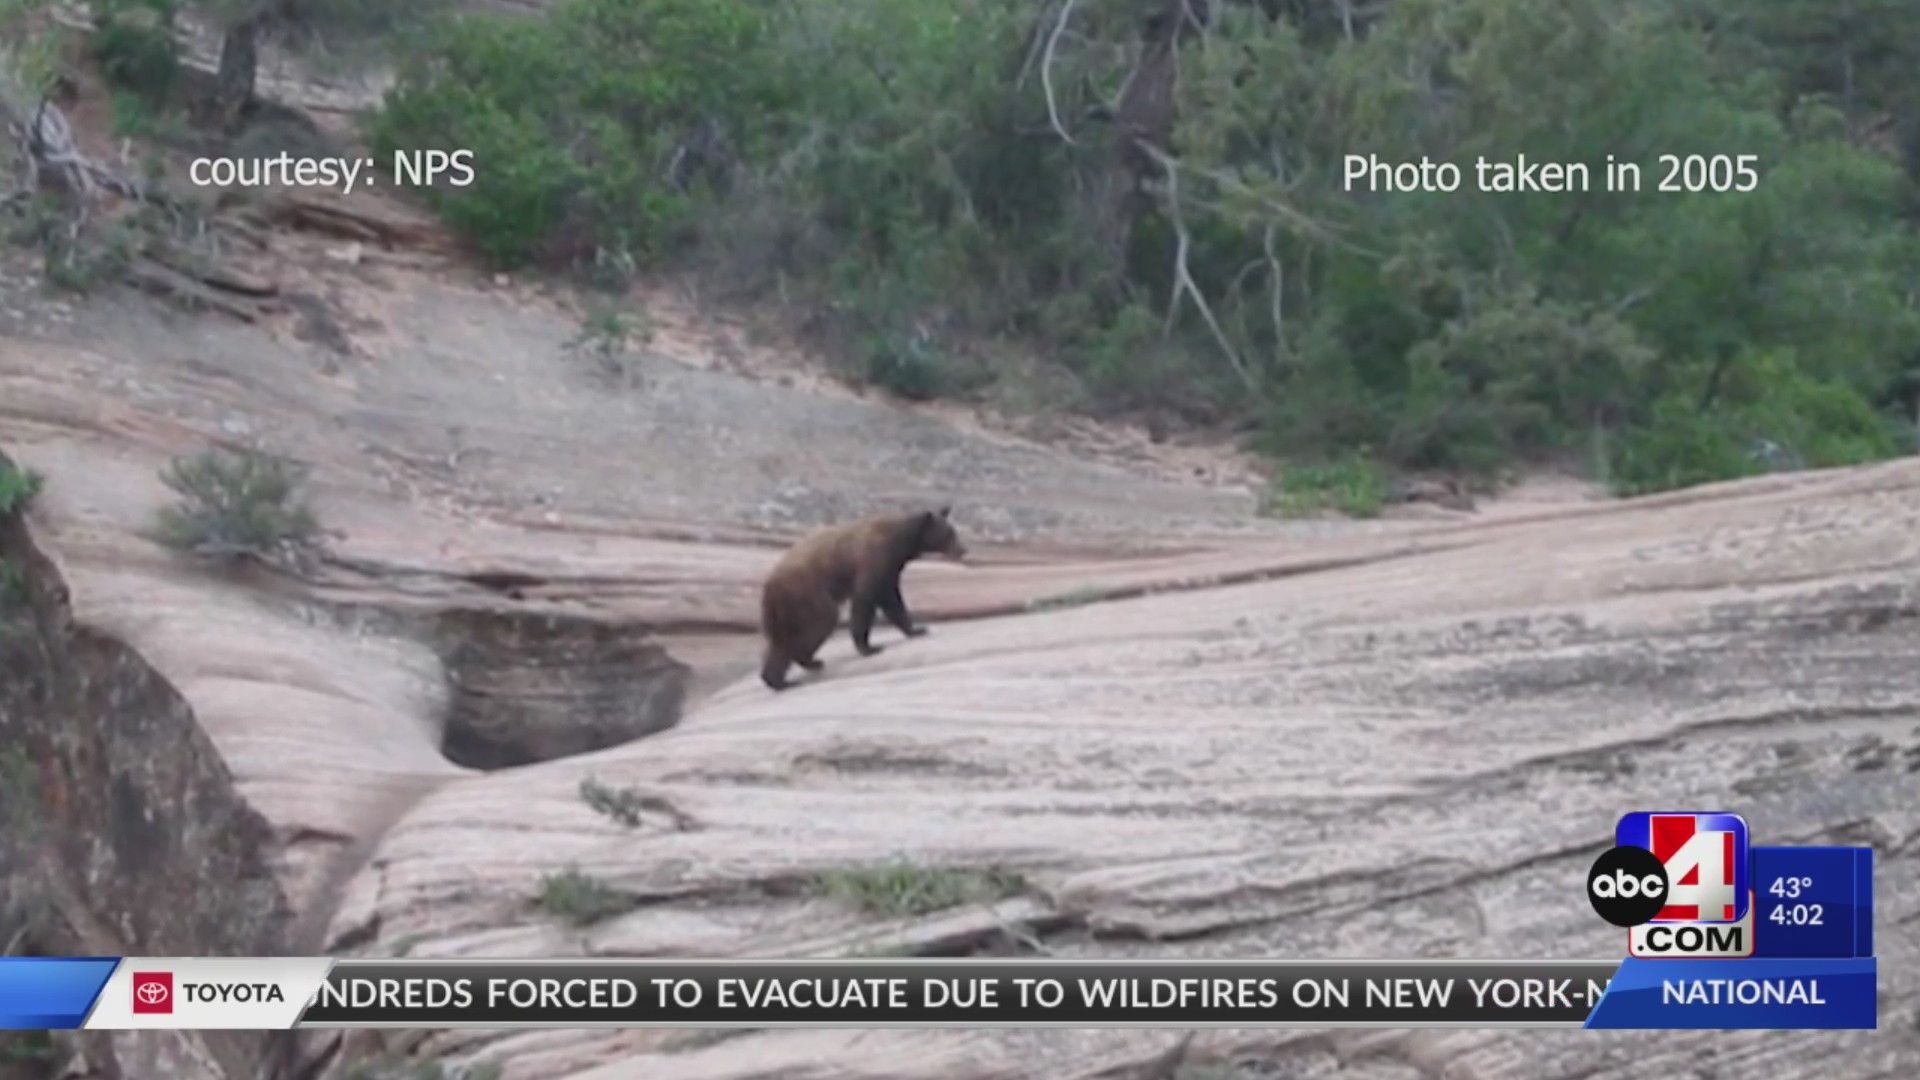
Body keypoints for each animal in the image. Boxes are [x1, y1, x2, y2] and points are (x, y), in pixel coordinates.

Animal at [759, 506, 967, 691]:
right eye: (949, 533)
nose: (963, 549)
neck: (900, 541)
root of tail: (770, 586)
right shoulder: (874, 559)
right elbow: (866, 600)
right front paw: (869, 647)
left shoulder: (890, 569)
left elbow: (892, 600)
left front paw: (917, 629)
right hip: (808, 593)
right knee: (821, 621)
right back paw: (809, 661)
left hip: (786, 609)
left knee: (780, 641)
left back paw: (778, 680)